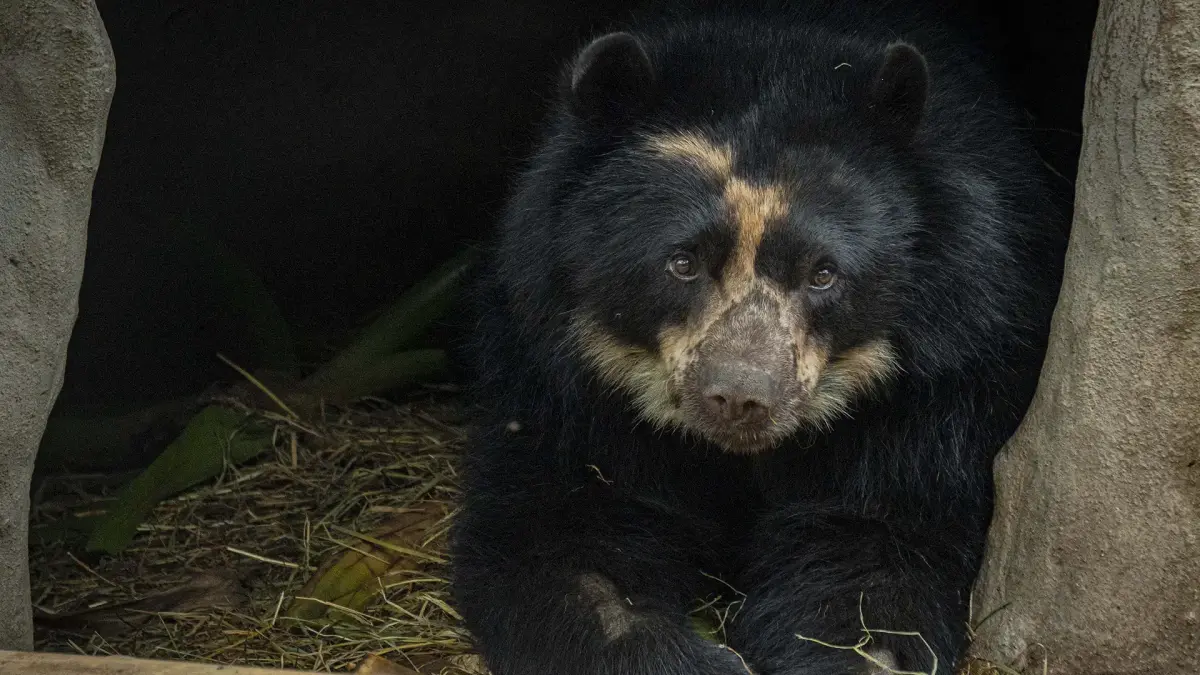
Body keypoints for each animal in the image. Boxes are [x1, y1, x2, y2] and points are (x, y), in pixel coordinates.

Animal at [449, 1, 1068, 674]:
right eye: (683, 262)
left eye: (823, 274)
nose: (740, 398)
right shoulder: (560, 387)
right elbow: (561, 542)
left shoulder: (938, 397)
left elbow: (873, 562)